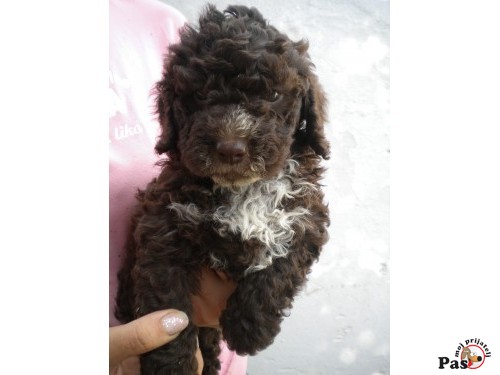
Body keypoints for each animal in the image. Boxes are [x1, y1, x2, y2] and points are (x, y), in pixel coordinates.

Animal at [115, 3, 330, 375]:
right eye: (200, 94)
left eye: (274, 94)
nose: (231, 148)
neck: (243, 189)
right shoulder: (163, 226)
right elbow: (168, 305)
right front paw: (173, 365)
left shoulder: (306, 216)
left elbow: (281, 265)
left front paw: (250, 330)